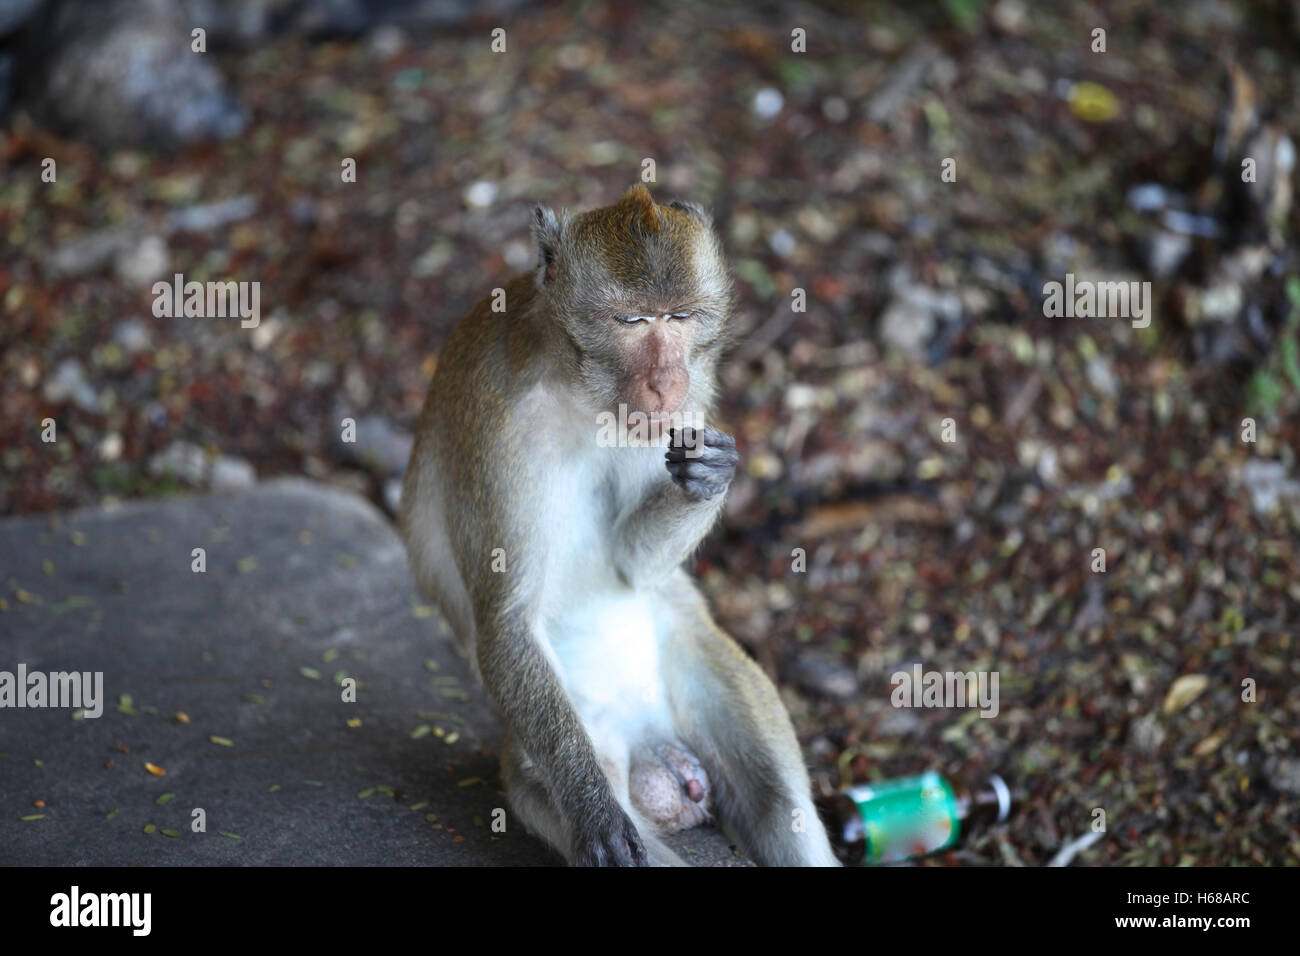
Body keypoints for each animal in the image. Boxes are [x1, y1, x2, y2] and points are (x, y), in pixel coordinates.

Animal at [399, 184, 839, 866]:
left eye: (680, 317)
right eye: (632, 323)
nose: (665, 382)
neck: (580, 391)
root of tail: (644, 734)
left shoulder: (688, 406)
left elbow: (633, 563)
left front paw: (711, 475)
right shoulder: (492, 426)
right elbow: (505, 615)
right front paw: (595, 812)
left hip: (691, 655)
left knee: (781, 805)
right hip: (554, 750)